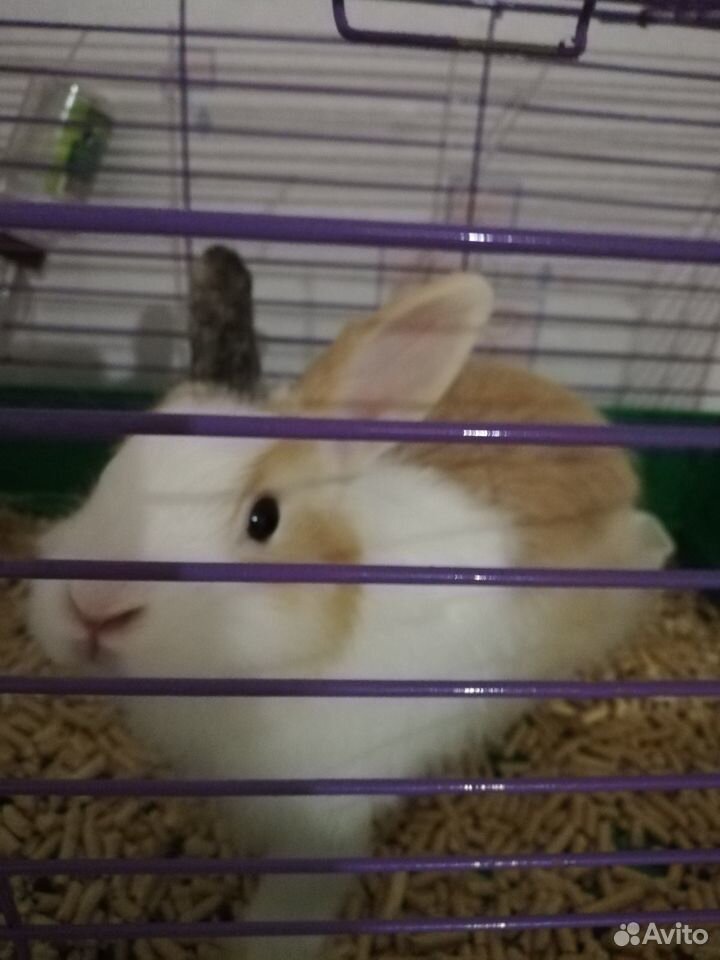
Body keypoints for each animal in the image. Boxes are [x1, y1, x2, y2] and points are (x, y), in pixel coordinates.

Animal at [28, 273, 672, 960]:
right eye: (112, 467)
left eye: (264, 519)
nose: (94, 607)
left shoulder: (326, 816)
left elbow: (304, 888)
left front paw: (266, 945)